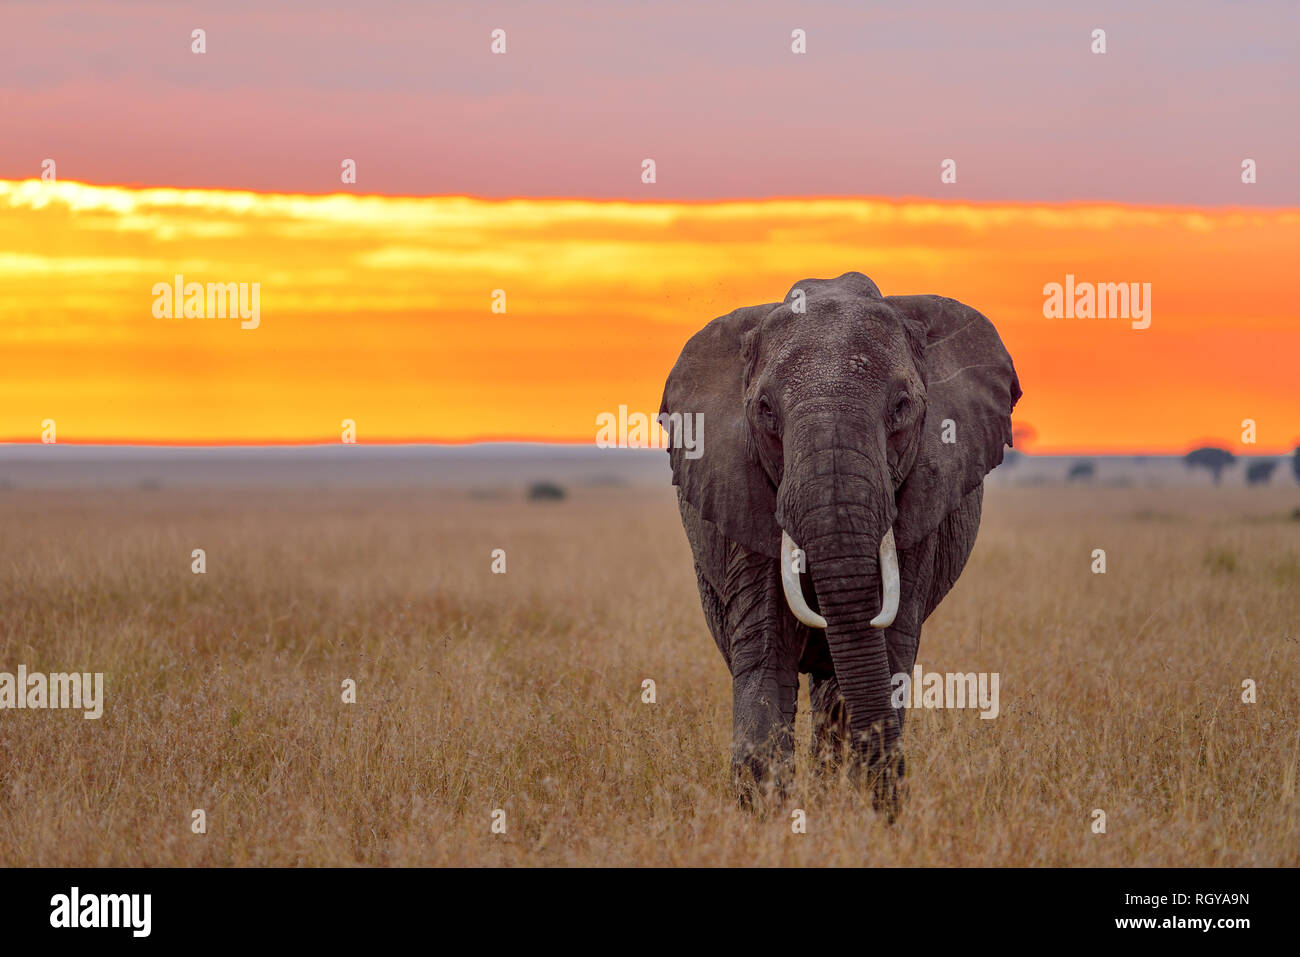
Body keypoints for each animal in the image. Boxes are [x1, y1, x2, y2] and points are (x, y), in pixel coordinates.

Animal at [659, 272, 1021, 819]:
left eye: (902, 407)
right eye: (765, 411)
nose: (892, 807)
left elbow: (888, 645)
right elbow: (766, 649)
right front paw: (763, 818)